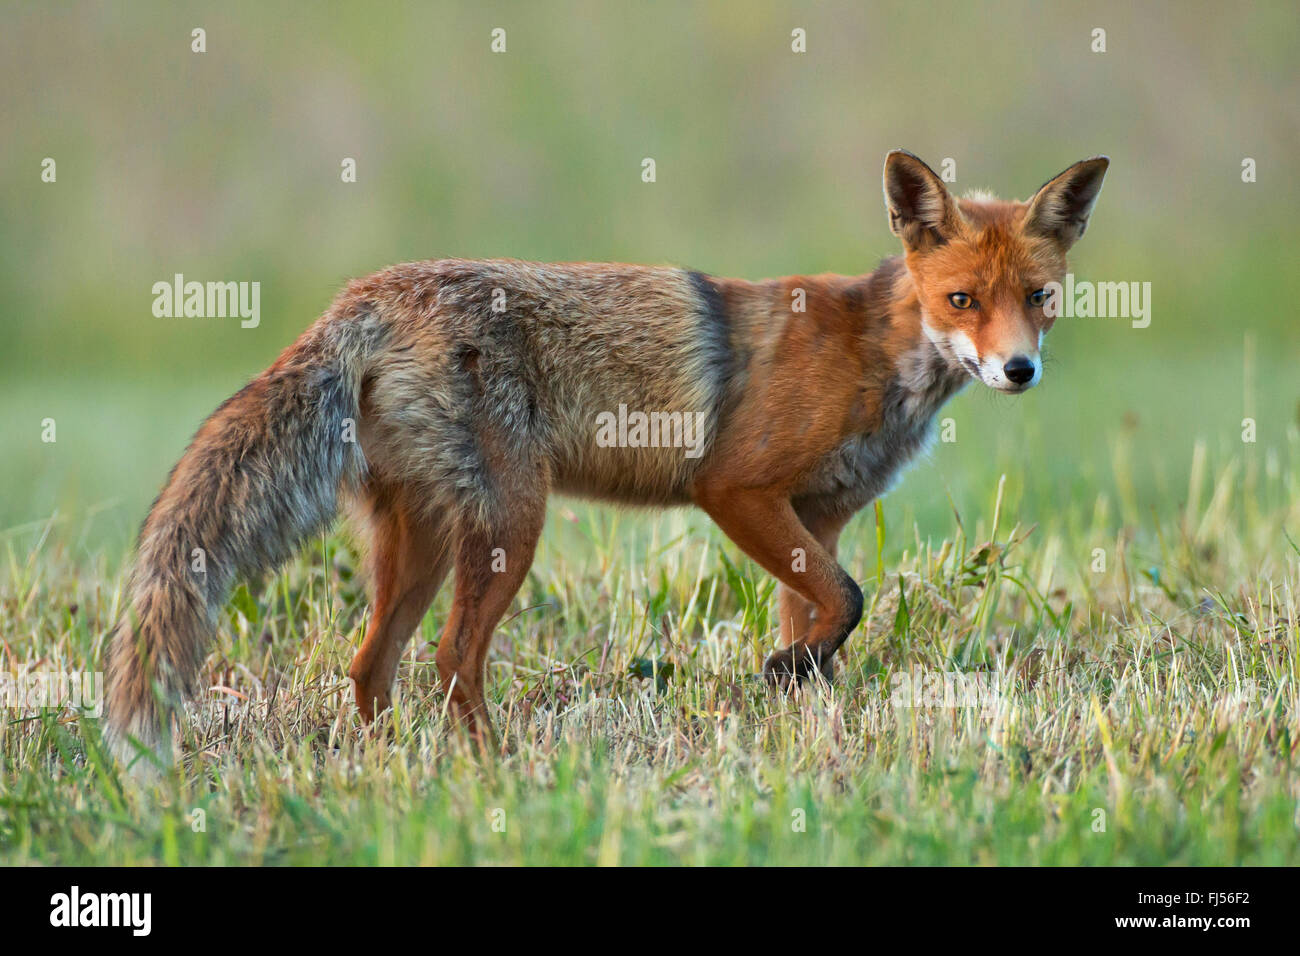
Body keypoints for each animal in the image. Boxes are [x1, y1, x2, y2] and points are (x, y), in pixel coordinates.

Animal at [105, 150, 1108, 766]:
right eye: (963, 298)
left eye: (1039, 296)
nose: (1019, 369)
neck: (875, 356)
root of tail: (362, 296)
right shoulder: (734, 488)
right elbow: (852, 600)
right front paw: (787, 681)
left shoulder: (817, 517)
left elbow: (825, 616)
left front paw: (800, 710)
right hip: (512, 523)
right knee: (452, 660)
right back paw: (492, 771)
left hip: (422, 539)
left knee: (371, 664)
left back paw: (393, 770)